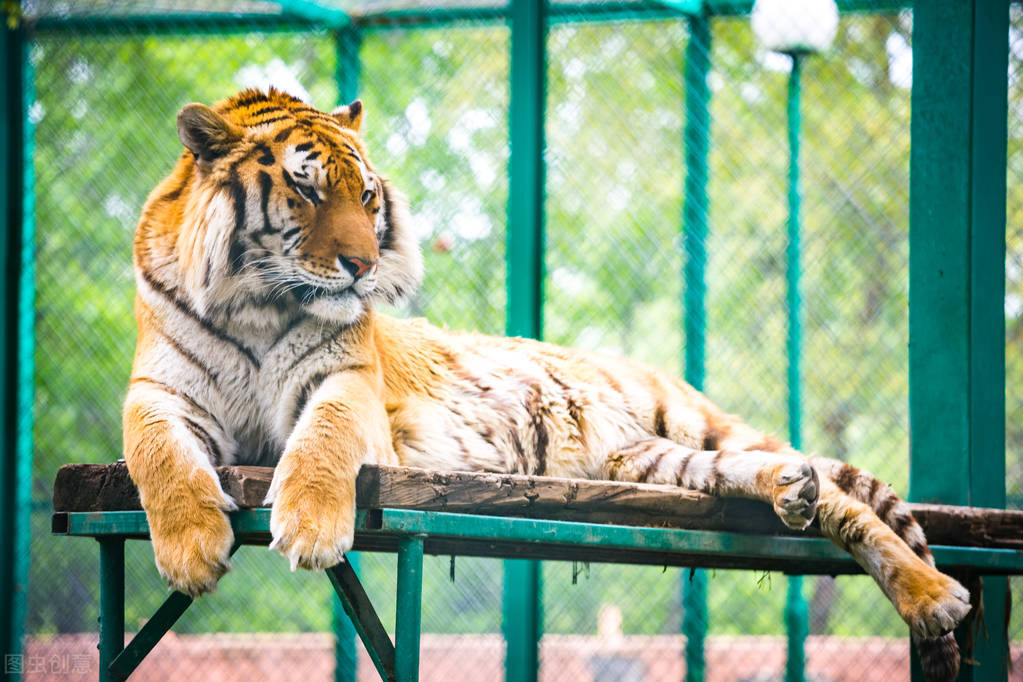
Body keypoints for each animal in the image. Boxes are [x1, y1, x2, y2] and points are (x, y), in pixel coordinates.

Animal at [122, 87, 971, 681]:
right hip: (651, 461)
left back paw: (932, 596)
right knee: (788, 480)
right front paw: (191, 550)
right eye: (304, 192)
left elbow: (322, 440)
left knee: (842, 501)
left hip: (689, 422)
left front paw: (307, 528)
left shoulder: (345, 382)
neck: (259, 302)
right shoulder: (159, 393)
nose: (362, 266)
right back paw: (791, 493)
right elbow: (156, 456)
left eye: (365, 197)